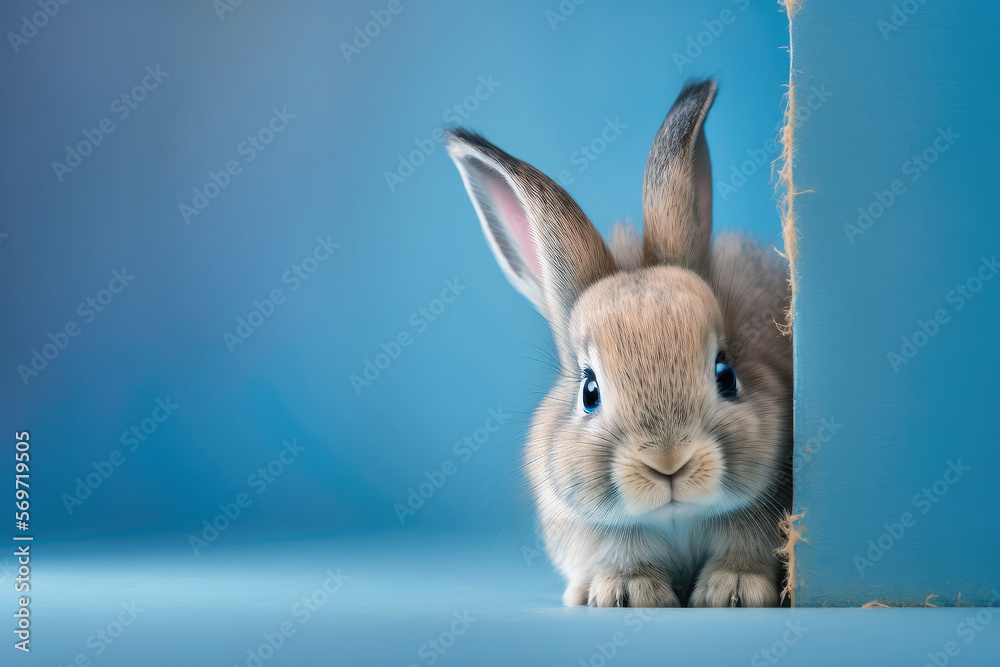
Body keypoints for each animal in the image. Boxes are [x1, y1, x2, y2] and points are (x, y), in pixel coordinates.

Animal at [446, 80, 792, 607]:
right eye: (589, 392)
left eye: (726, 374)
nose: (667, 461)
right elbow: (624, 561)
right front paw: (626, 592)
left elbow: (742, 552)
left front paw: (731, 590)